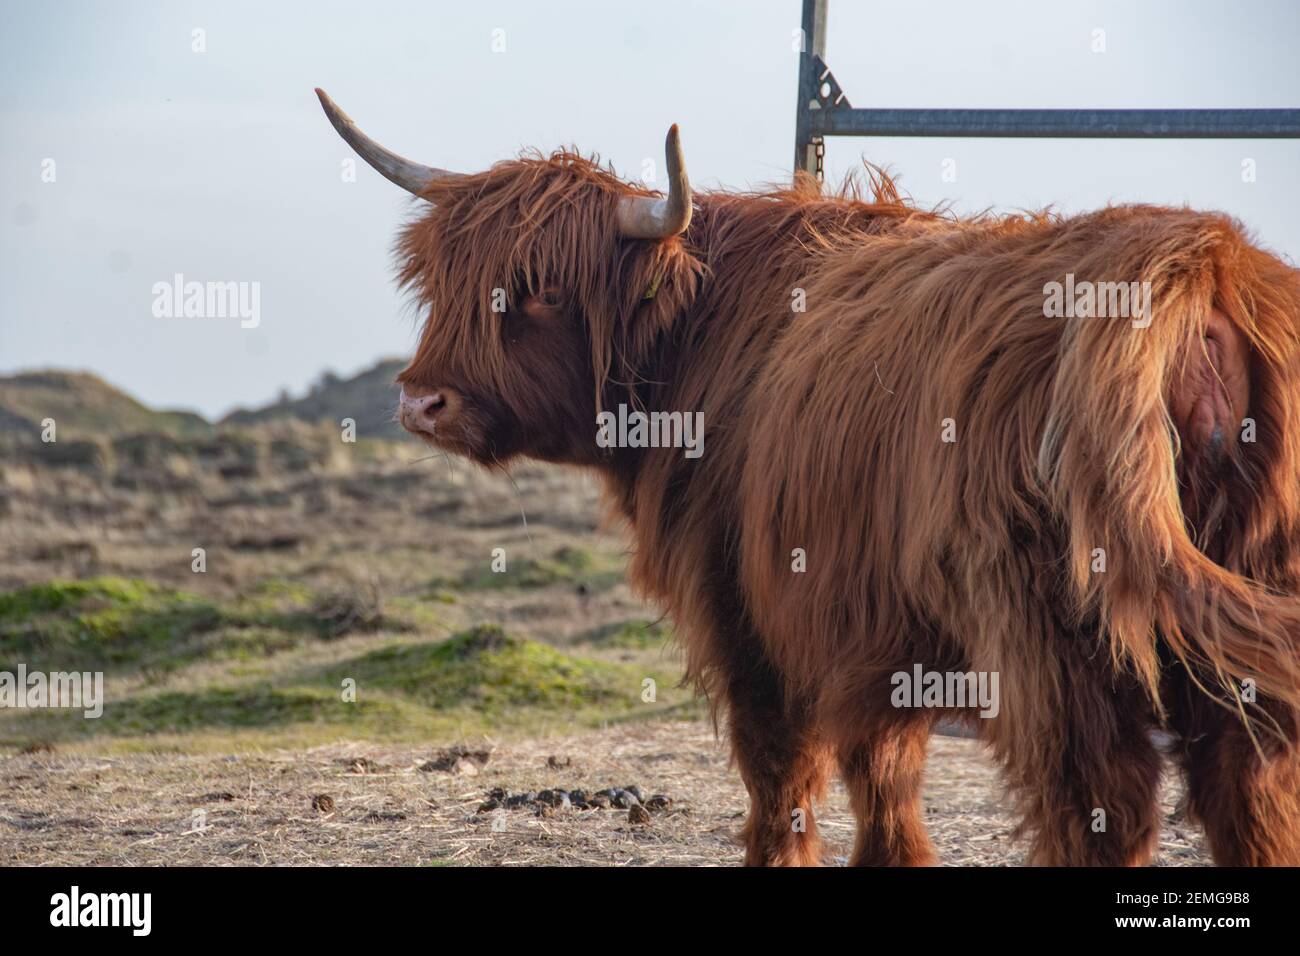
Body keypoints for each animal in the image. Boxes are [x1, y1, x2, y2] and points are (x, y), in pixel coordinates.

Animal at [317, 89, 1300, 866]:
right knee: (1248, 791)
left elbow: (781, 780)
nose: (422, 401)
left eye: (541, 291)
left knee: (1104, 803)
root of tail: (1190, 260)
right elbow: (885, 788)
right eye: (446, 282)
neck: (702, 335)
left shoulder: (751, 614)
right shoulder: (871, 643)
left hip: (1053, 640)